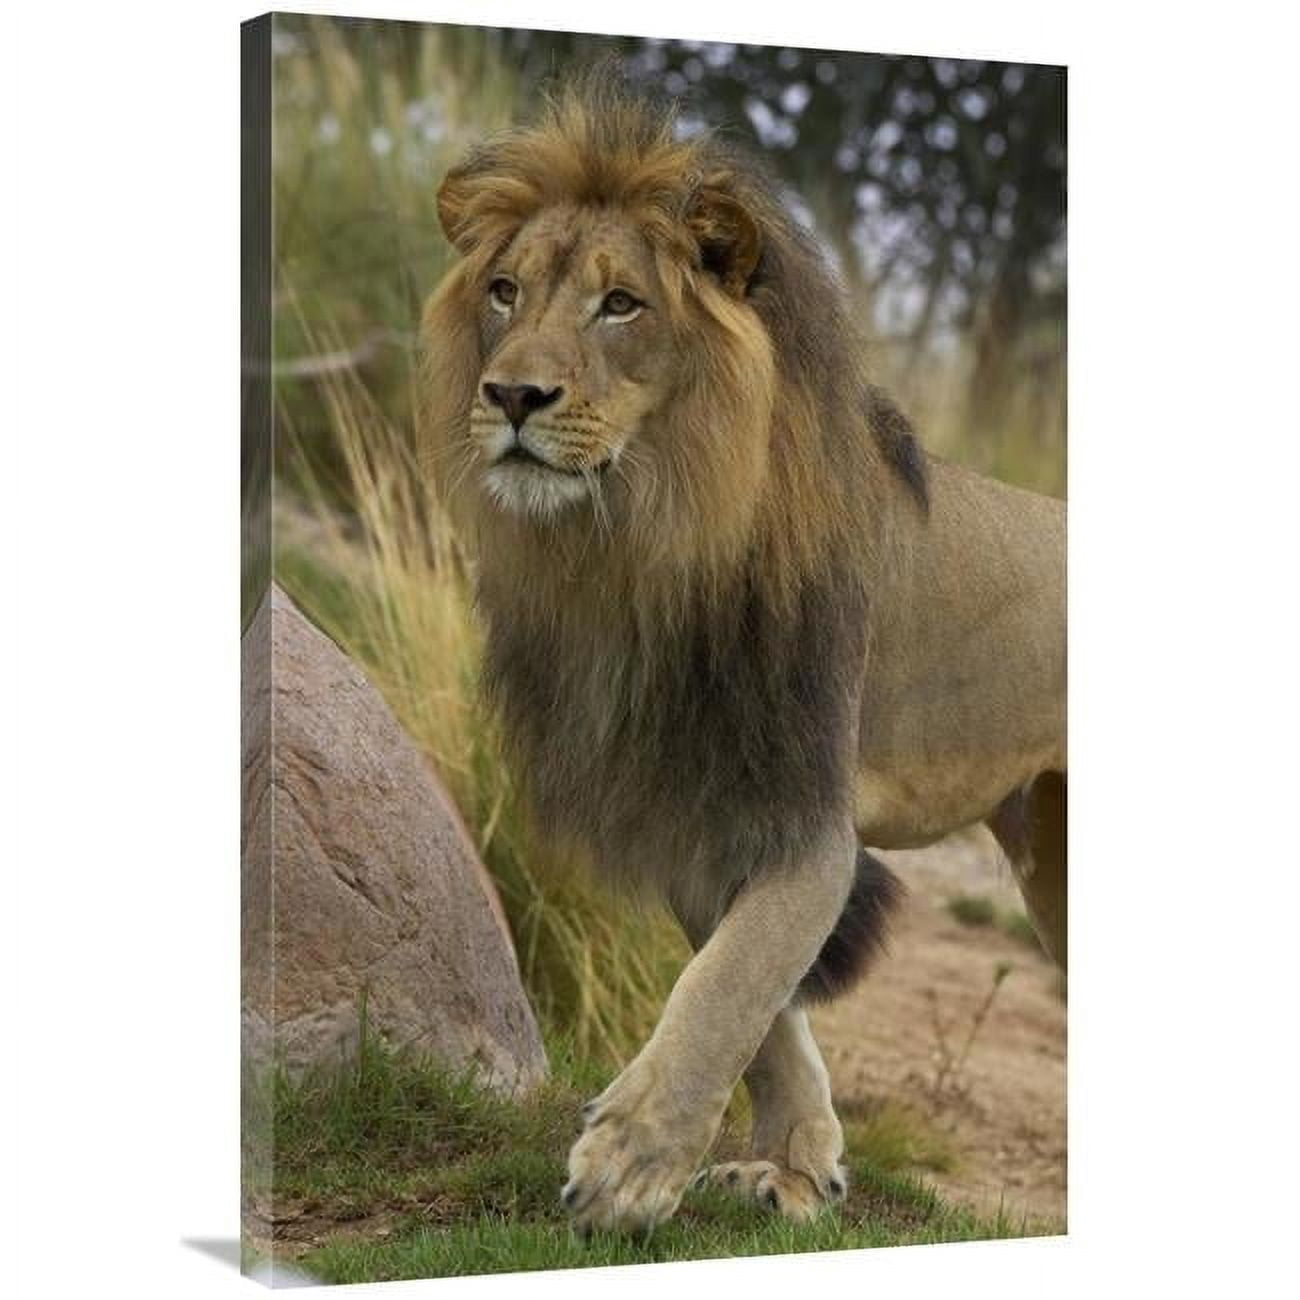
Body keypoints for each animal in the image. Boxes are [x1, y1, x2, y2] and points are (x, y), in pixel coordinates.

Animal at [417, 77, 1065, 1235]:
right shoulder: (693, 803)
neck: (641, 549)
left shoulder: (807, 806)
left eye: (620, 304)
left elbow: (732, 981)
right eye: (503, 291)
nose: (511, 397)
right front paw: (796, 1169)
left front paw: (628, 1163)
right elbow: (757, 1001)